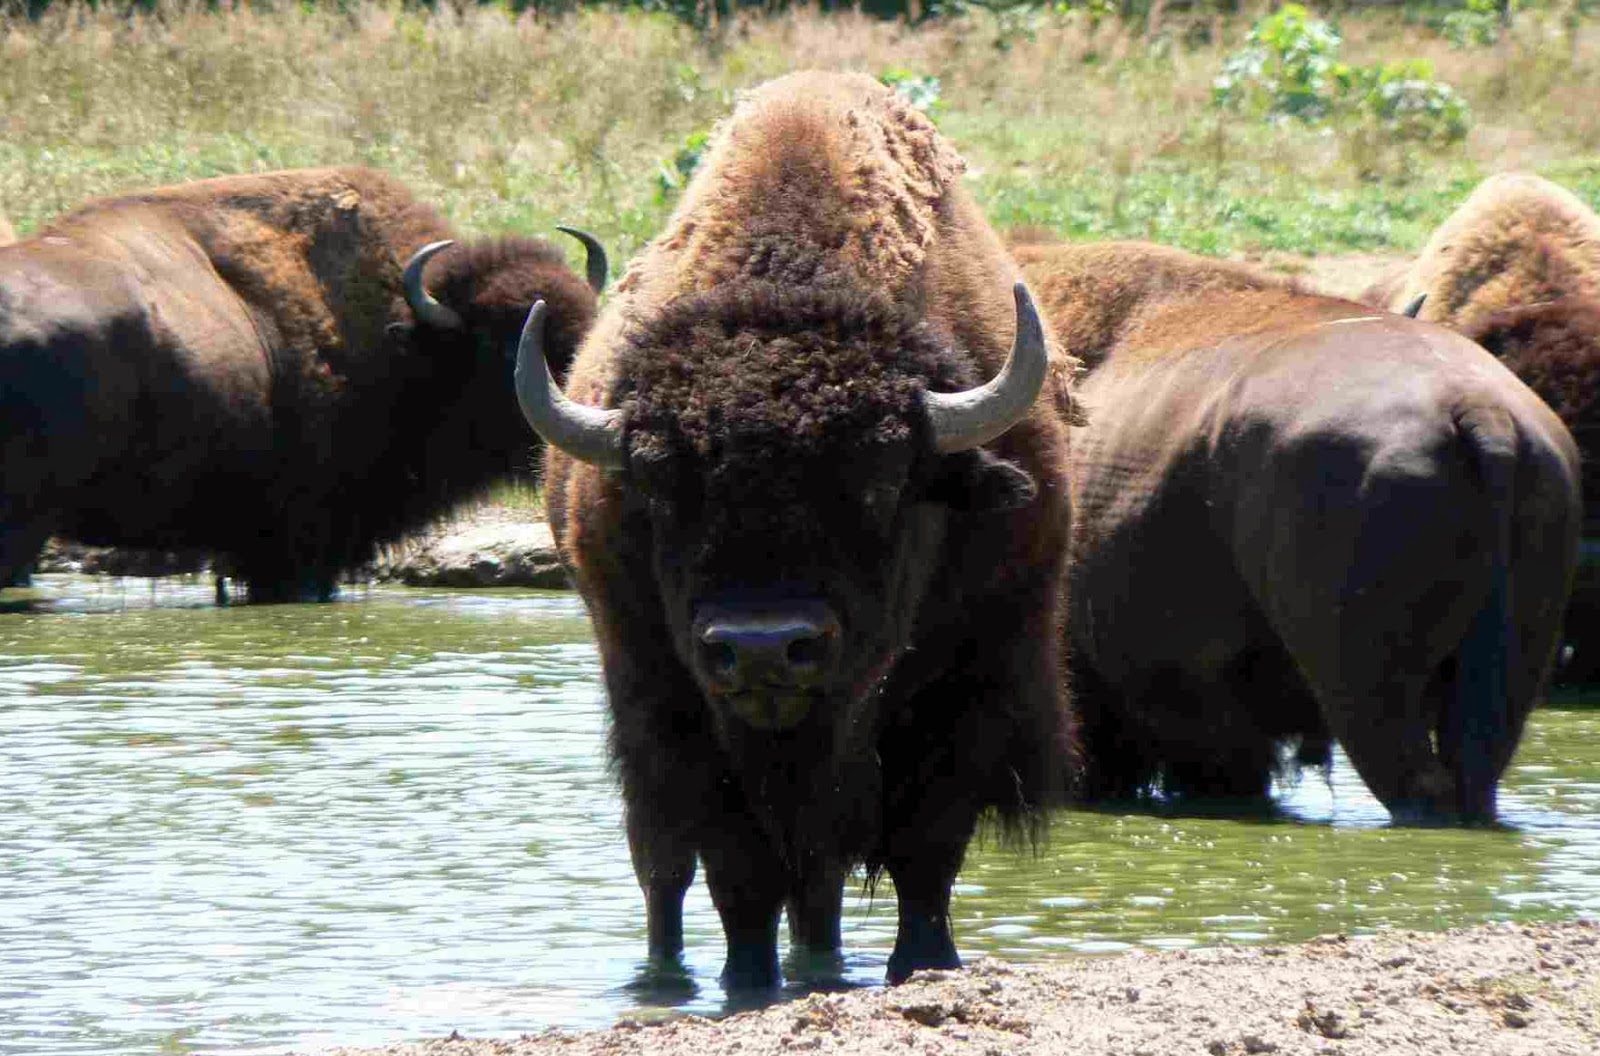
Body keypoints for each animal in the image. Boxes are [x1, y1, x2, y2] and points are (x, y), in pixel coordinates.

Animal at [519, 72, 1078, 989]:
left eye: (884, 479)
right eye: (660, 487)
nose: (764, 649)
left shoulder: (972, 679)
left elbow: (926, 850)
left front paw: (926, 961)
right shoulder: (678, 704)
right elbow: (736, 871)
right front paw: (745, 981)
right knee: (664, 869)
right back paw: (667, 976)